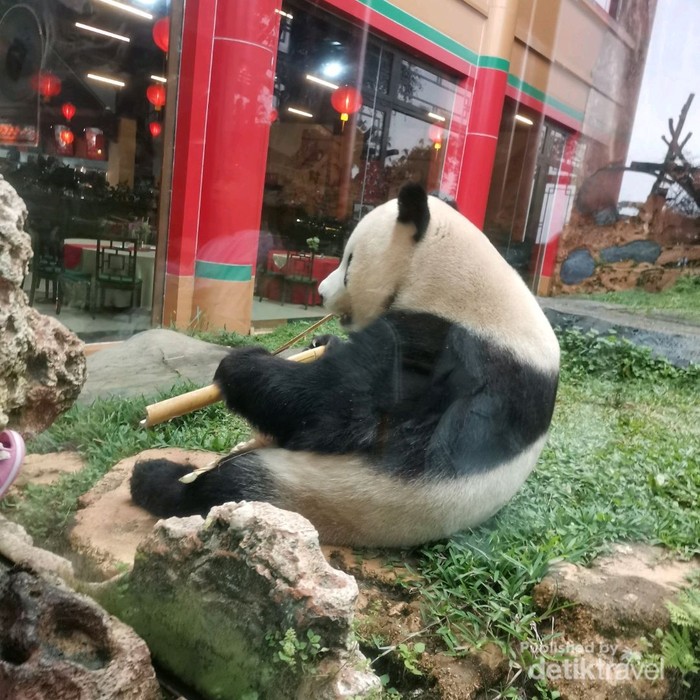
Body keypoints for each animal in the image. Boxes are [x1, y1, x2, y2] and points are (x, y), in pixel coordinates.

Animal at [130, 183, 559, 547]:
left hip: (308, 491)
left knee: (225, 489)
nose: (321, 292)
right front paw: (321, 342)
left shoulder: (453, 353)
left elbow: (344, 412)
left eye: (349, 262)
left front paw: (239, 366)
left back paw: (154, 475)